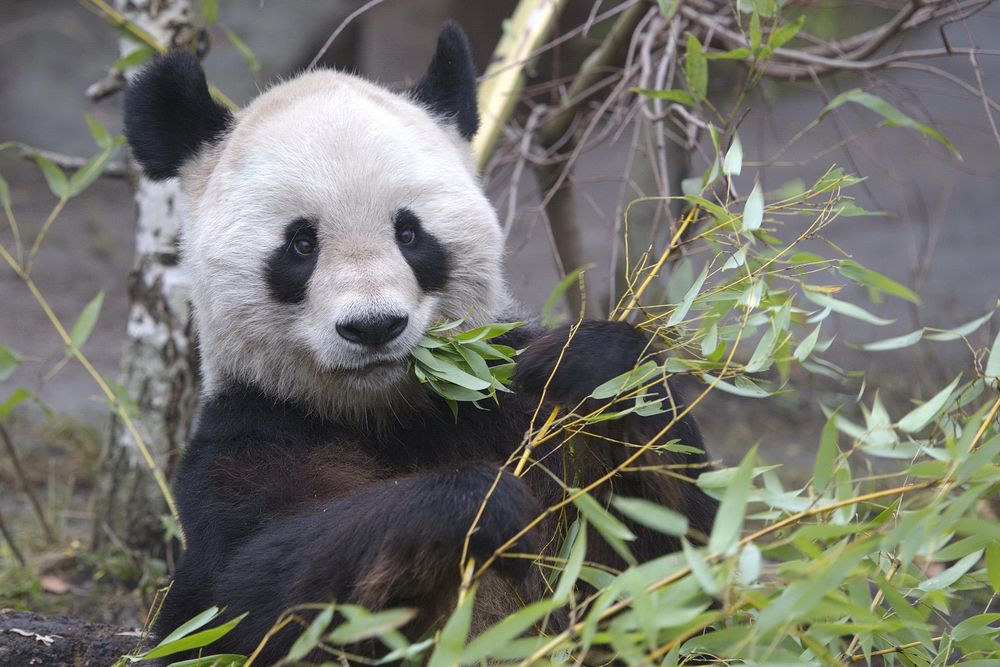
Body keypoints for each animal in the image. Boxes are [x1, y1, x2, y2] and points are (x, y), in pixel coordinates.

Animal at [123, 22, 718, 662]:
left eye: (409, 234)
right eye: (301, 245)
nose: (373, 326)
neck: (392, 412)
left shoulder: (513, 410)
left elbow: (669, 570)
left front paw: (591, 362)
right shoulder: (250, 436)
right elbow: (239, 598)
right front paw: (475, 505)